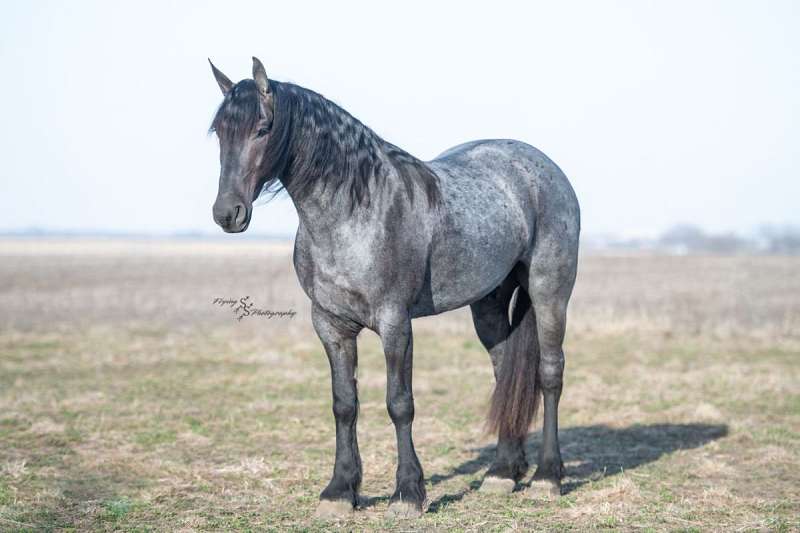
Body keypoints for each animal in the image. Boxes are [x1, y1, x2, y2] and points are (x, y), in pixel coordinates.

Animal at [207, 57, 580, 519]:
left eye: (262, 128)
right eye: (219, 131)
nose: (227, 213)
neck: (354, 212)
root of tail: (542, 167)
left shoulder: (394, 324)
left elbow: (399, 404)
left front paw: (407, 493)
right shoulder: (330, 325)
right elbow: (344, 404)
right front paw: (339, 491)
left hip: (550, 292)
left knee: (550, 374)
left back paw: (548, 476)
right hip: (489, 304)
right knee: (504, 370)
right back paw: (502, 473)